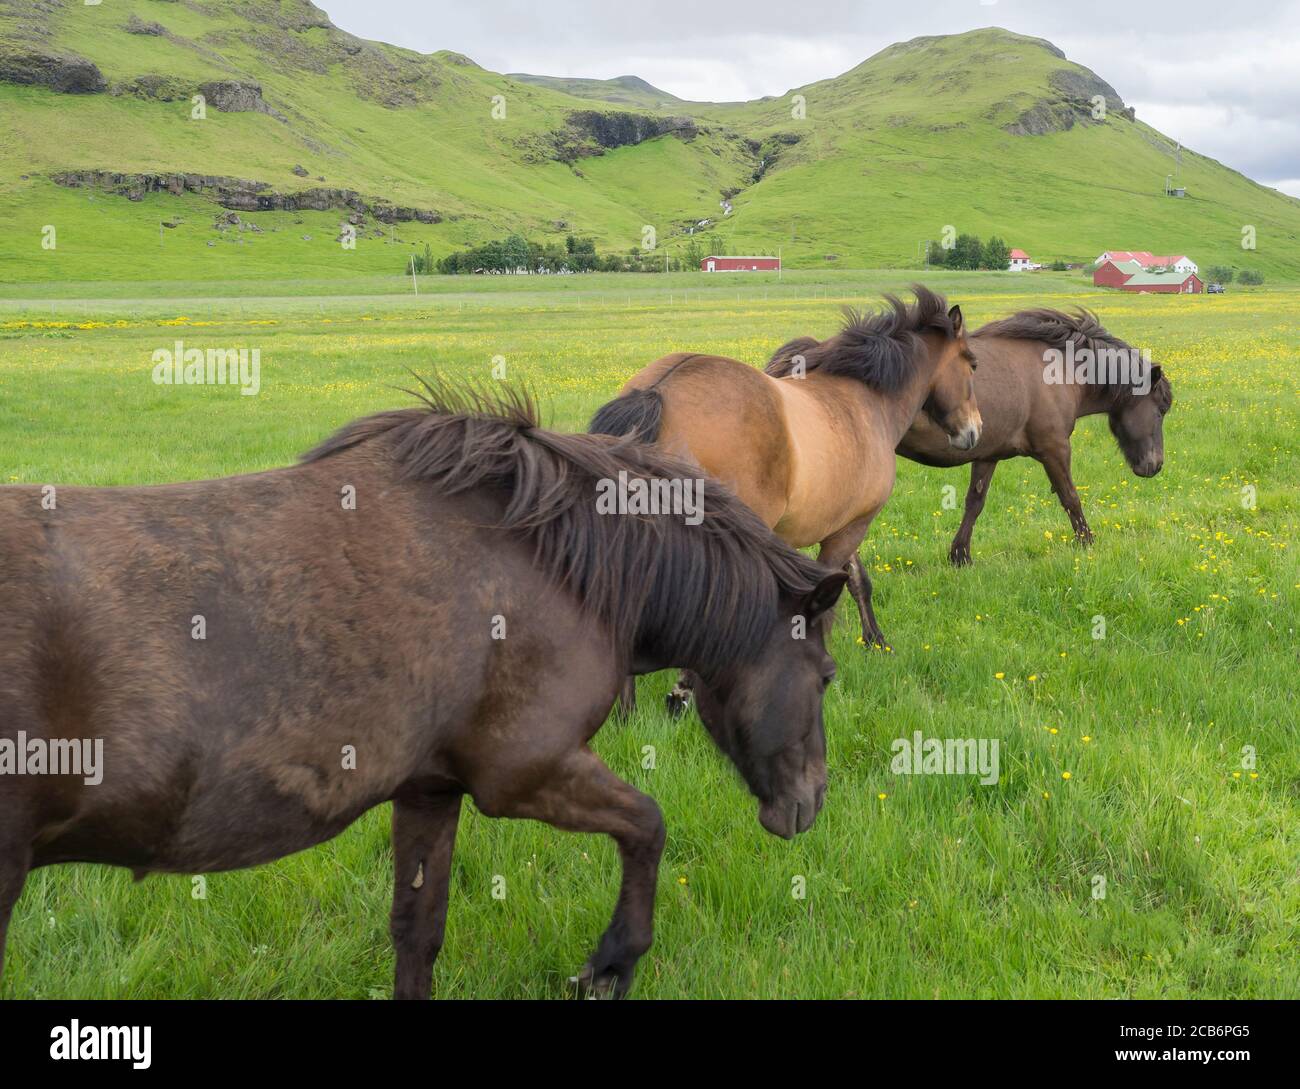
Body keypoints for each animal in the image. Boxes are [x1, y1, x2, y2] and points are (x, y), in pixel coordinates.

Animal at [0, 382, 847, 1000]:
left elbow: (417, 930)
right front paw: (611, 962)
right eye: (827, 676)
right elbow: (648, 825)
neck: (549, 558)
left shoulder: (431, 789)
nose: (809, 802)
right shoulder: (525, 772)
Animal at [592, 286, 980, 708]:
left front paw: (876, 641)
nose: (974, 431)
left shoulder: (843, 523)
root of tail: (658, 389)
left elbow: (858, 581)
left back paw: (627, 707)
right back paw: (681, 692)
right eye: (972, 364)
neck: (865, 401)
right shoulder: (852, 528)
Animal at [895, 307, 1173, 565]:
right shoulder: (1055, 449)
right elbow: (1070, 497)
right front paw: (1087, 542)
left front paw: (960, 555)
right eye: (1161, 410)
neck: (1060, 368)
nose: (1156, 465)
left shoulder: (987, 455)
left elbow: (974, 503)